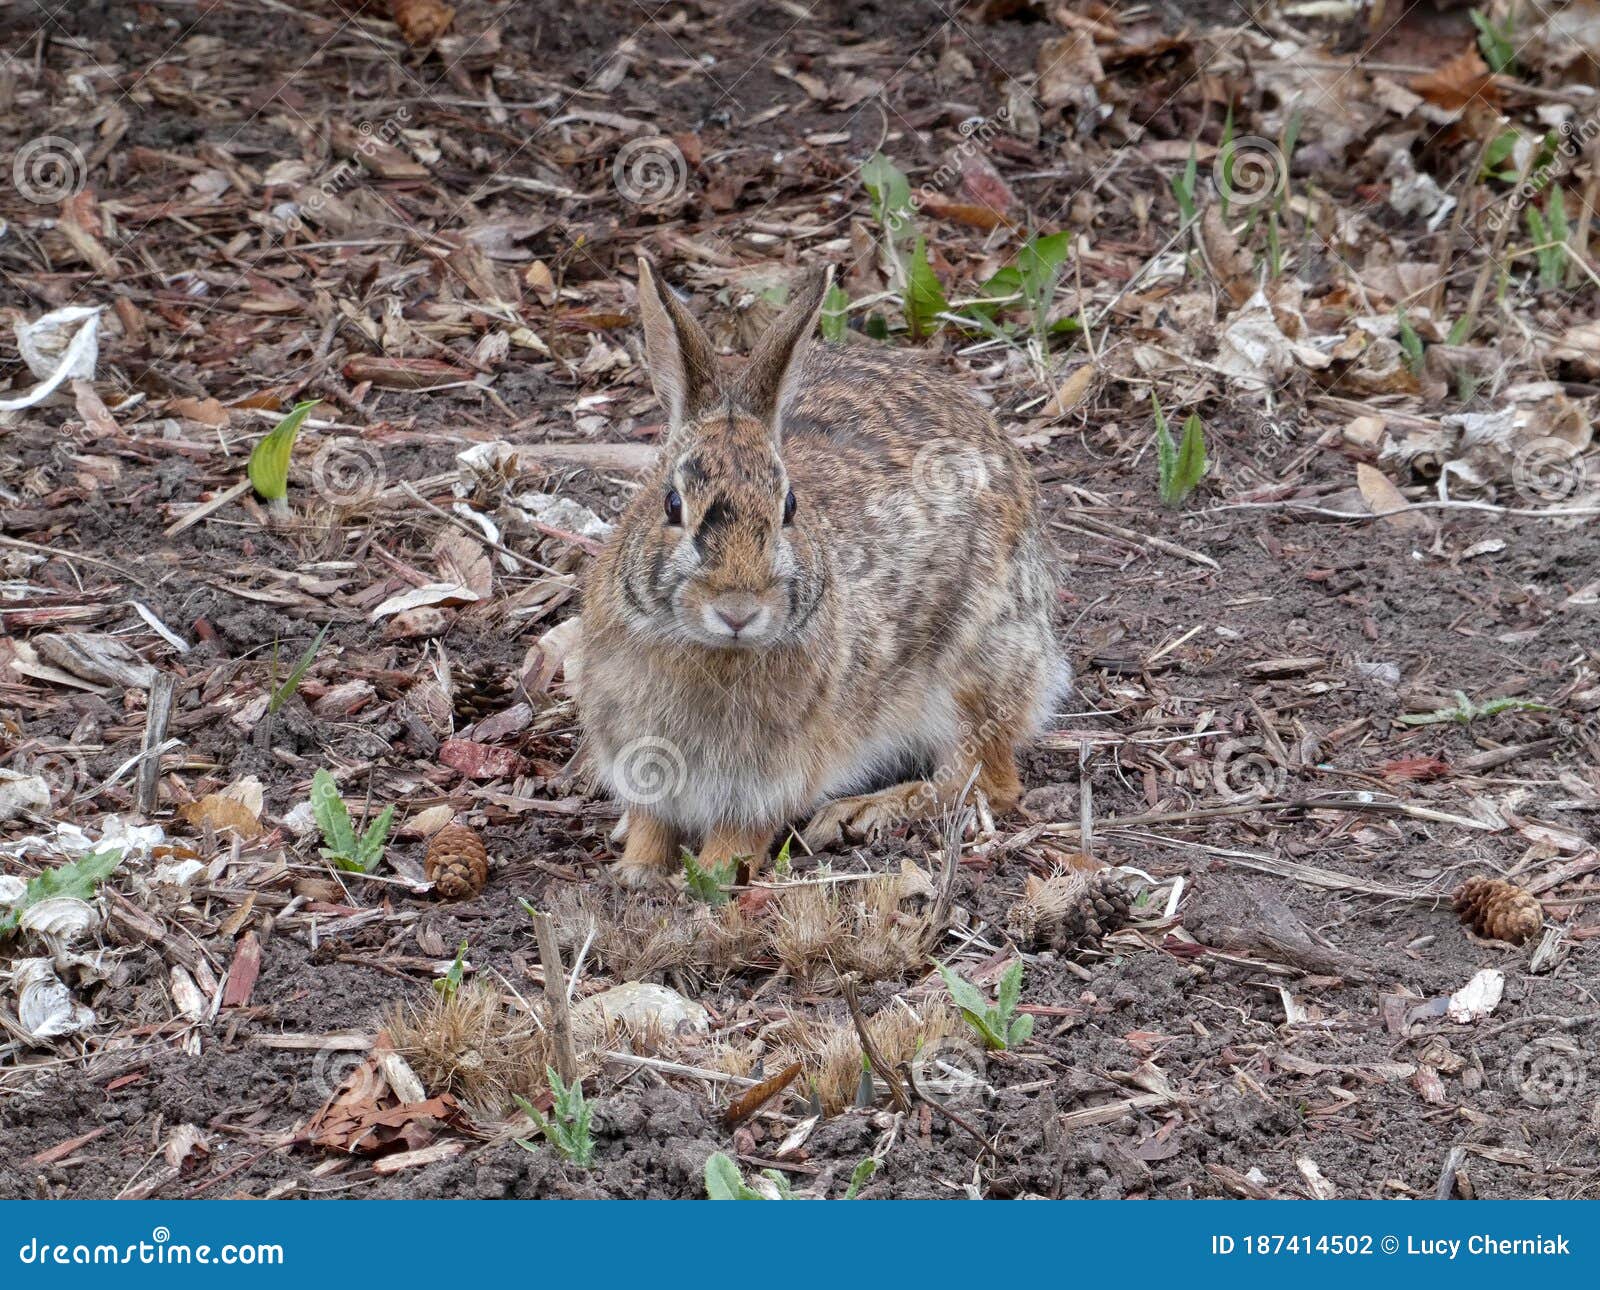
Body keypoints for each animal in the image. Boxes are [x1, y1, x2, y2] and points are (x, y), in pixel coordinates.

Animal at [578, 258, 1069, 888]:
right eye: (671, 504)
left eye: (788, 507)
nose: (738, 610)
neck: (707, 650)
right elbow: (651, 822)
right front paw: (636, 872)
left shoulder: (768, 776)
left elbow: (739, 836)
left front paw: (705, 878)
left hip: (975, 667)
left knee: (985, 780)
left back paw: (860, 811)